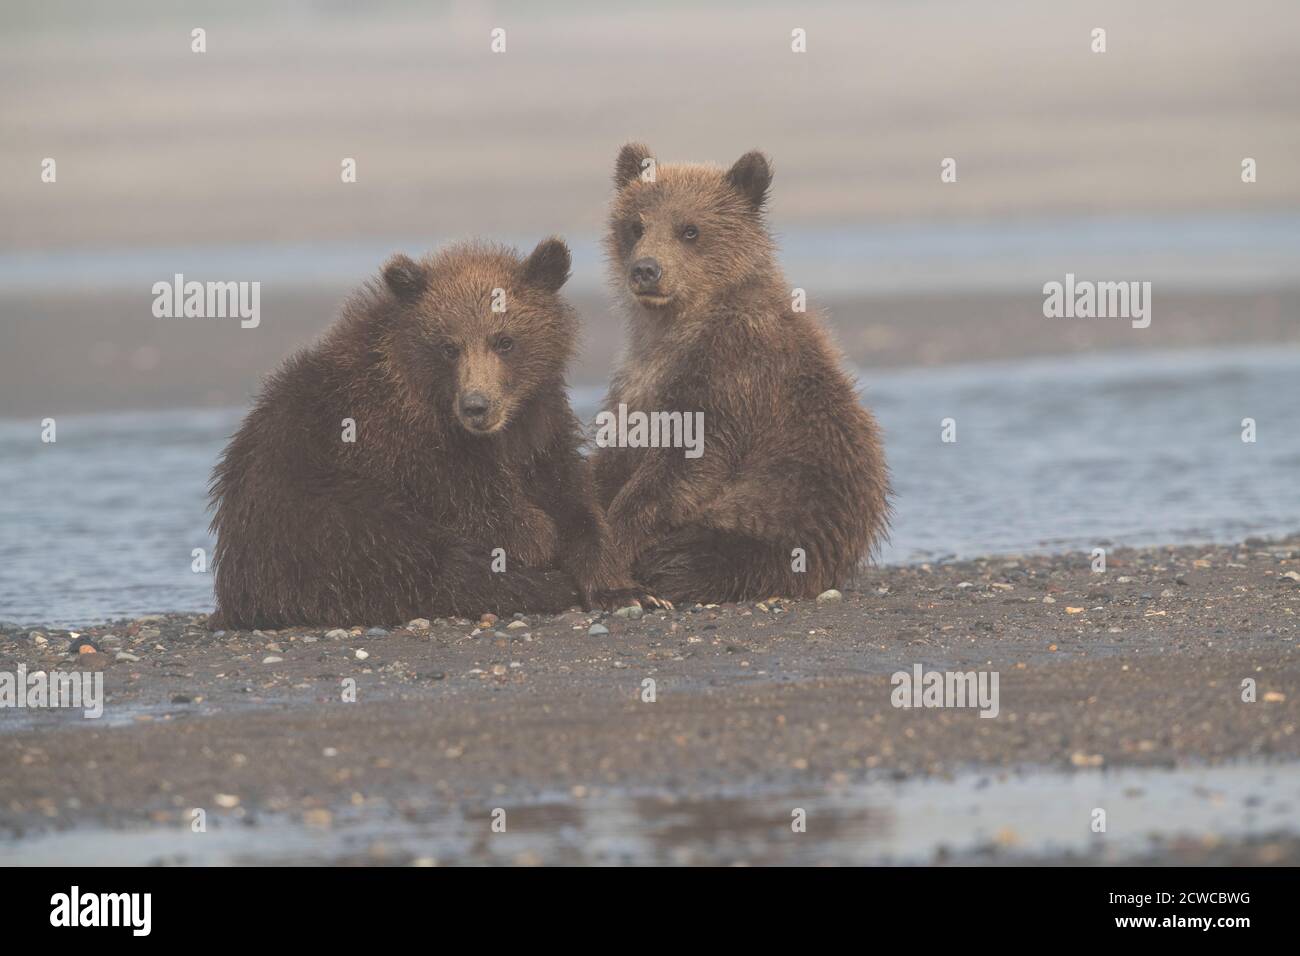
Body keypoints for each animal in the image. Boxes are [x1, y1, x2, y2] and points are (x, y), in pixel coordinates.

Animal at [209, 238, 638, 629]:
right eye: (449, 346)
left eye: (505, 340)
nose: (476, 405)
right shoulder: (397, 441)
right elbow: (479, 506)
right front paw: (537, 540)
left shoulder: (539, 423)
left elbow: (572, 497)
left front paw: (618, 588)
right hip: (310, 507)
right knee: (412, 557)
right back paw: (541, 586)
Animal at [591, 143, 891, 604]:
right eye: (636, 225)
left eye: (690, 229)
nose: (646, 269)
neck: (674, 326)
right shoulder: (637, 378)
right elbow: (616, 453)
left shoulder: (733, 373)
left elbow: (687, 465)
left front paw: (617, 565)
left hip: (777, 520)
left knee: (702, 555)